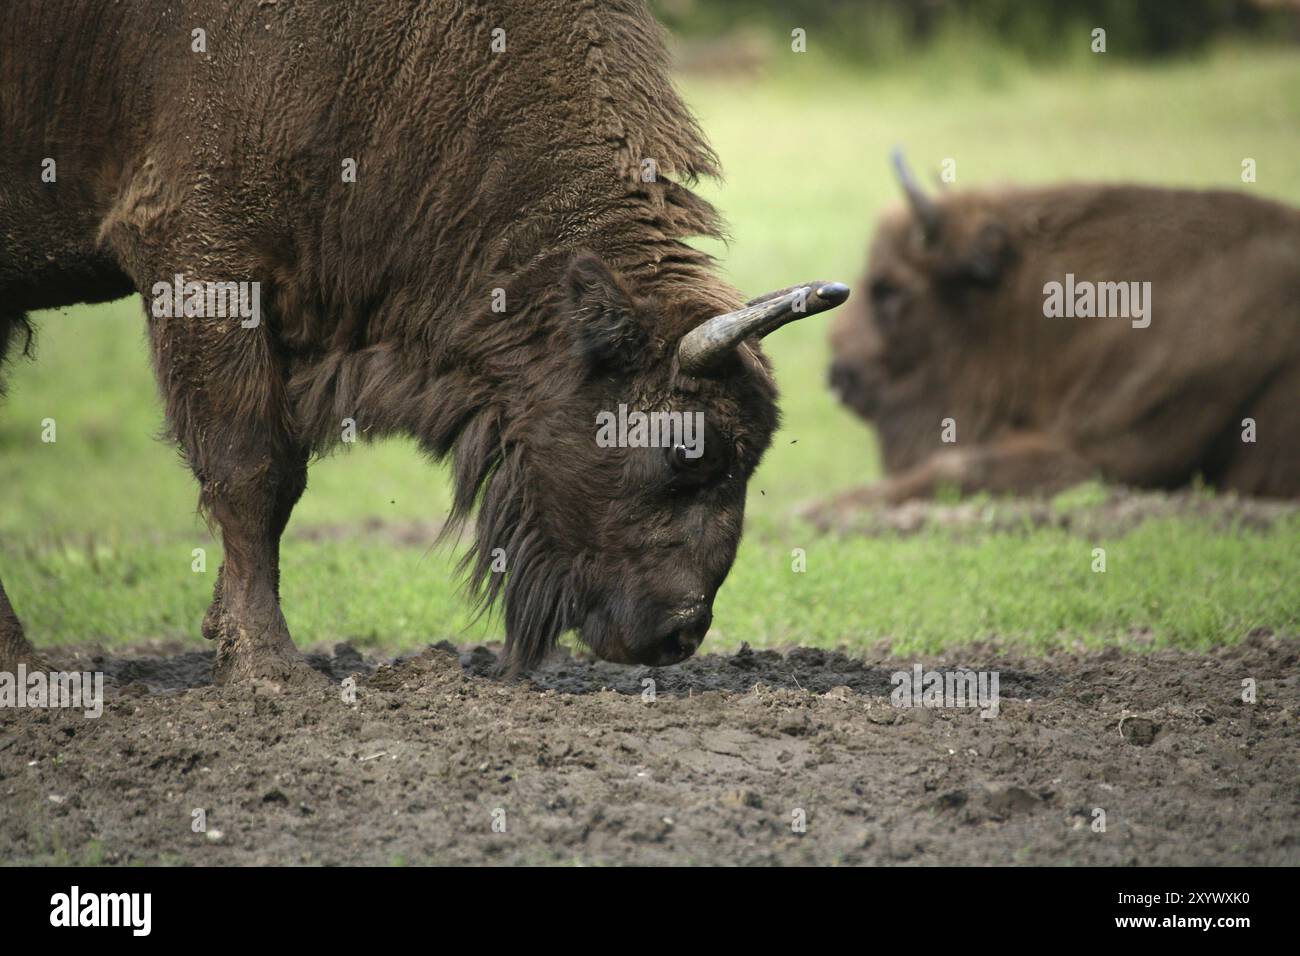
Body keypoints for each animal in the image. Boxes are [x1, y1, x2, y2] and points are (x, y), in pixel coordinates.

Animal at [0, 0, 849, 684]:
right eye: (685, 450)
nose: (680, 634)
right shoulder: (200, 263)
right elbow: (251, 473)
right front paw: (271, 669)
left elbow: (280, 483)